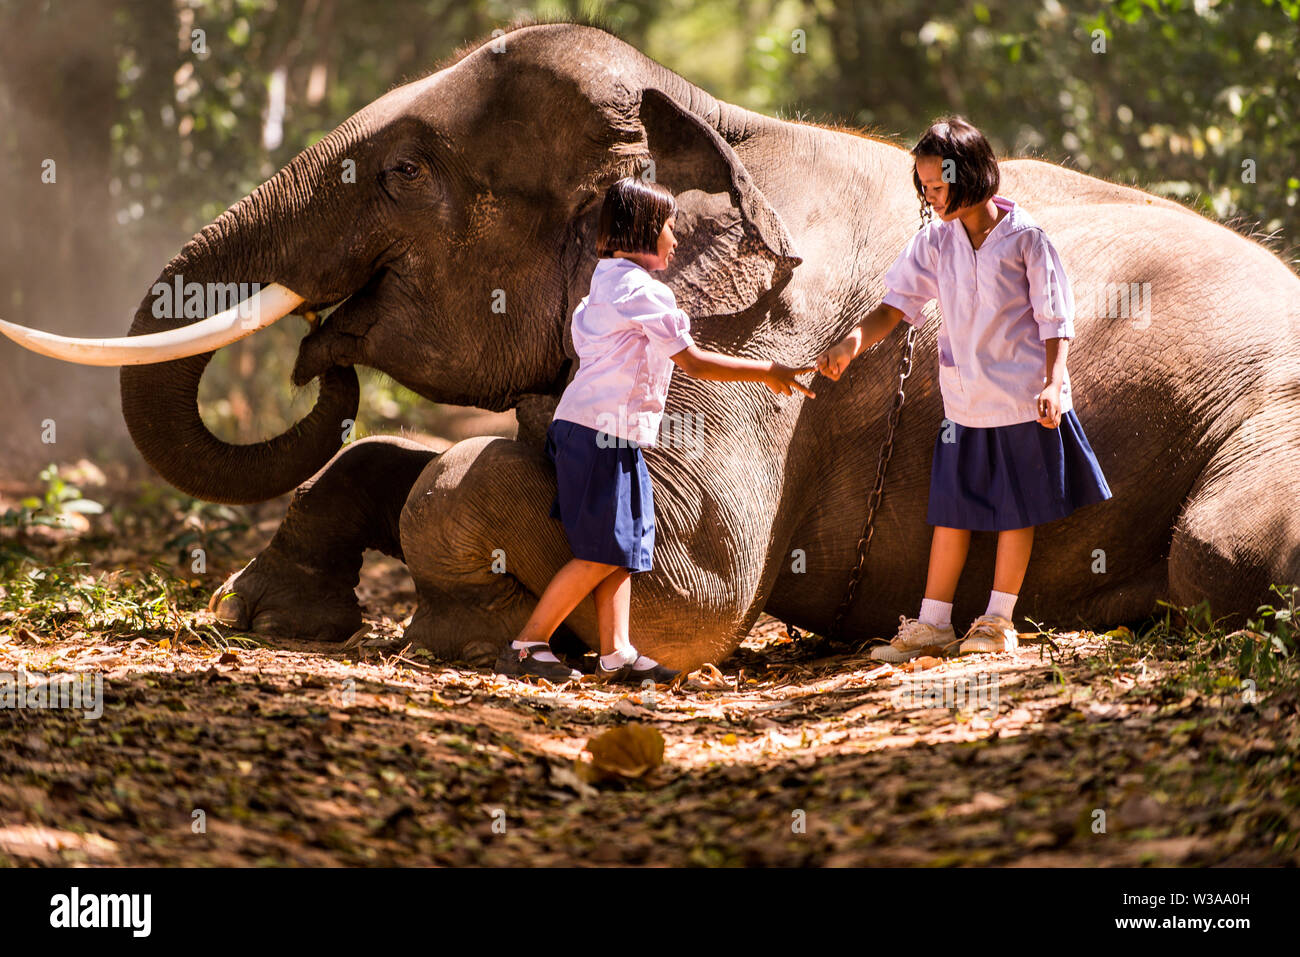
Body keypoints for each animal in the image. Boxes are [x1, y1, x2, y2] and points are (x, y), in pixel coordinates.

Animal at [4, 20, 1298, 671]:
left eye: (409, 173)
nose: (320, 361)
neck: (713, 122)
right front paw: (269, 616)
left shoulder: (746, 320)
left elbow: (694, 582)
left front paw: (475, 634)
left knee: (1215, 554)